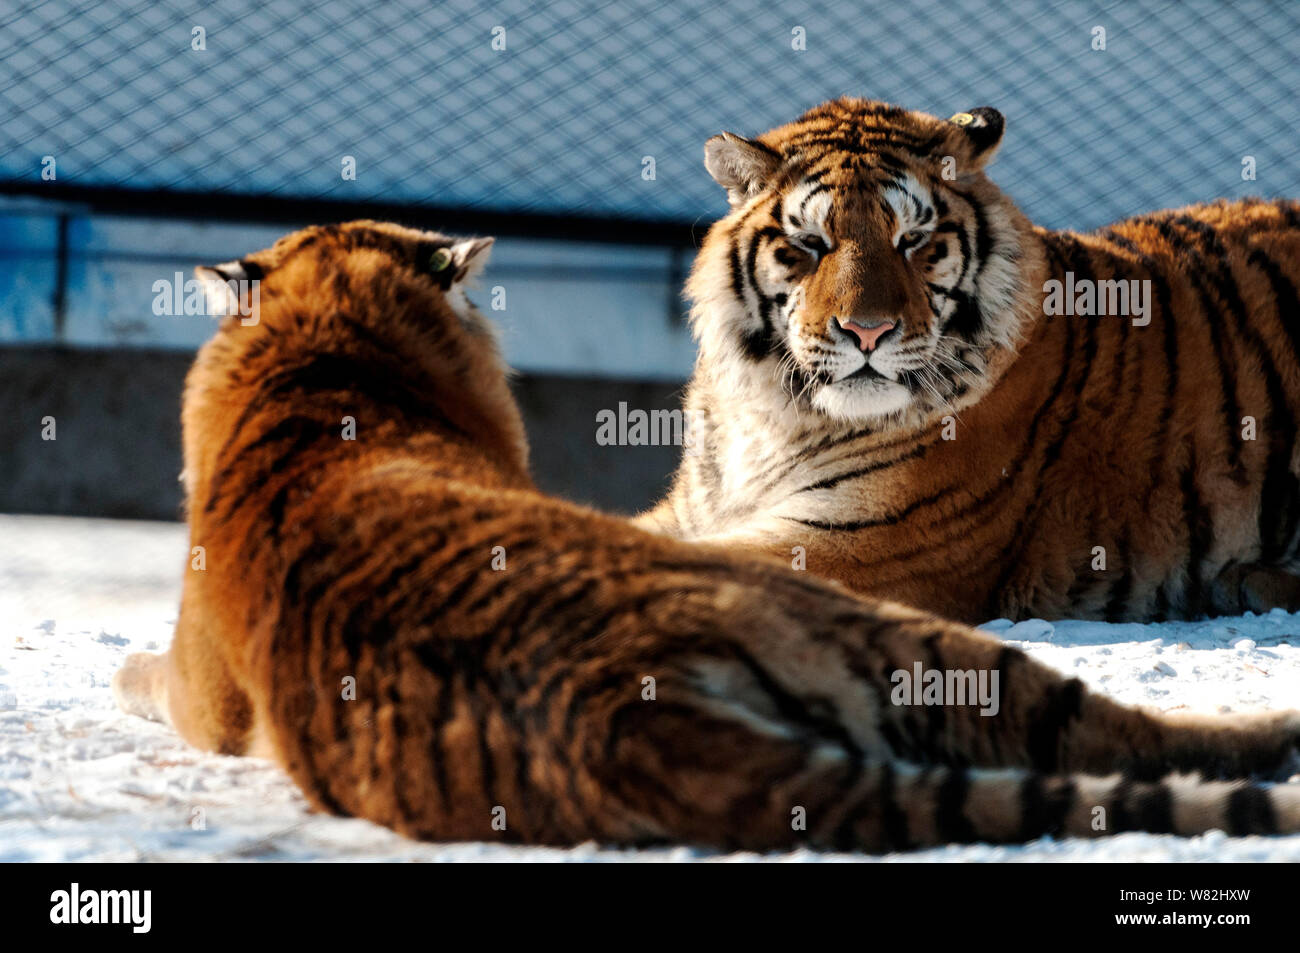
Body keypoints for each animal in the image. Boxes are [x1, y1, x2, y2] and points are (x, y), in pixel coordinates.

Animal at [109, 219, 1300, 852]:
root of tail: (623, 712)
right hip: (896, 644)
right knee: (1114, 737)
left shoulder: (206, 690)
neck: (330, 361)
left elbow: (151, 670)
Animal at [636, 96, 1300, 626]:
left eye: (913, 241)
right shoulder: (692, 512)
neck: (770, 416)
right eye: (810, 244)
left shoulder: (856, 541)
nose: (867, 330)